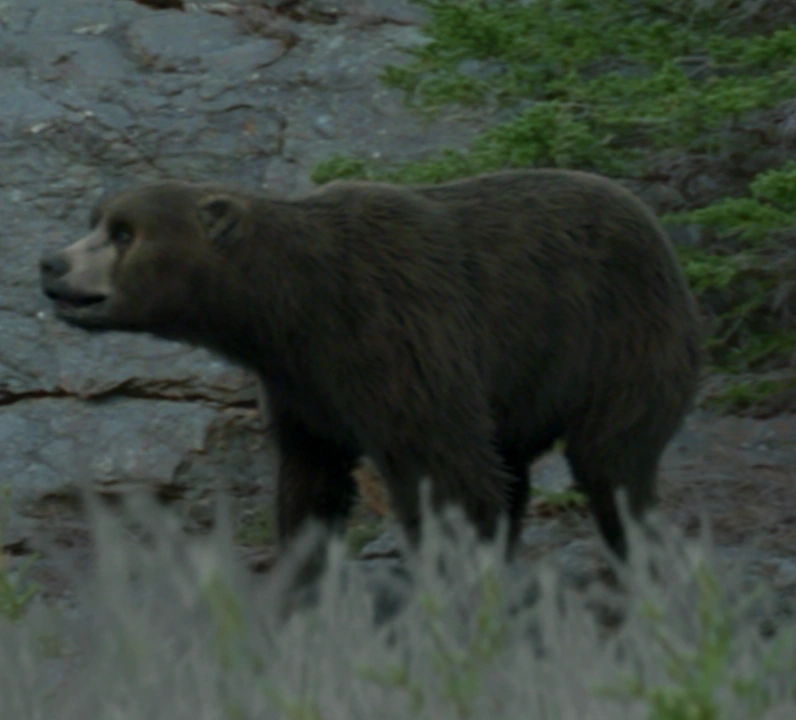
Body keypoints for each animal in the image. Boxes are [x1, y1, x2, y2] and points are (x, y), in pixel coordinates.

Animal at [39, 168, 702, 569]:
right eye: (97, 220)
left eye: (124, 233)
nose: (52, 263)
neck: (289, 311)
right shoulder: (304, 389)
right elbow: (311, 484)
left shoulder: (397, 334)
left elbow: (448, 471)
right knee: (518, 468)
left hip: (616, 341)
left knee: (612, 463)